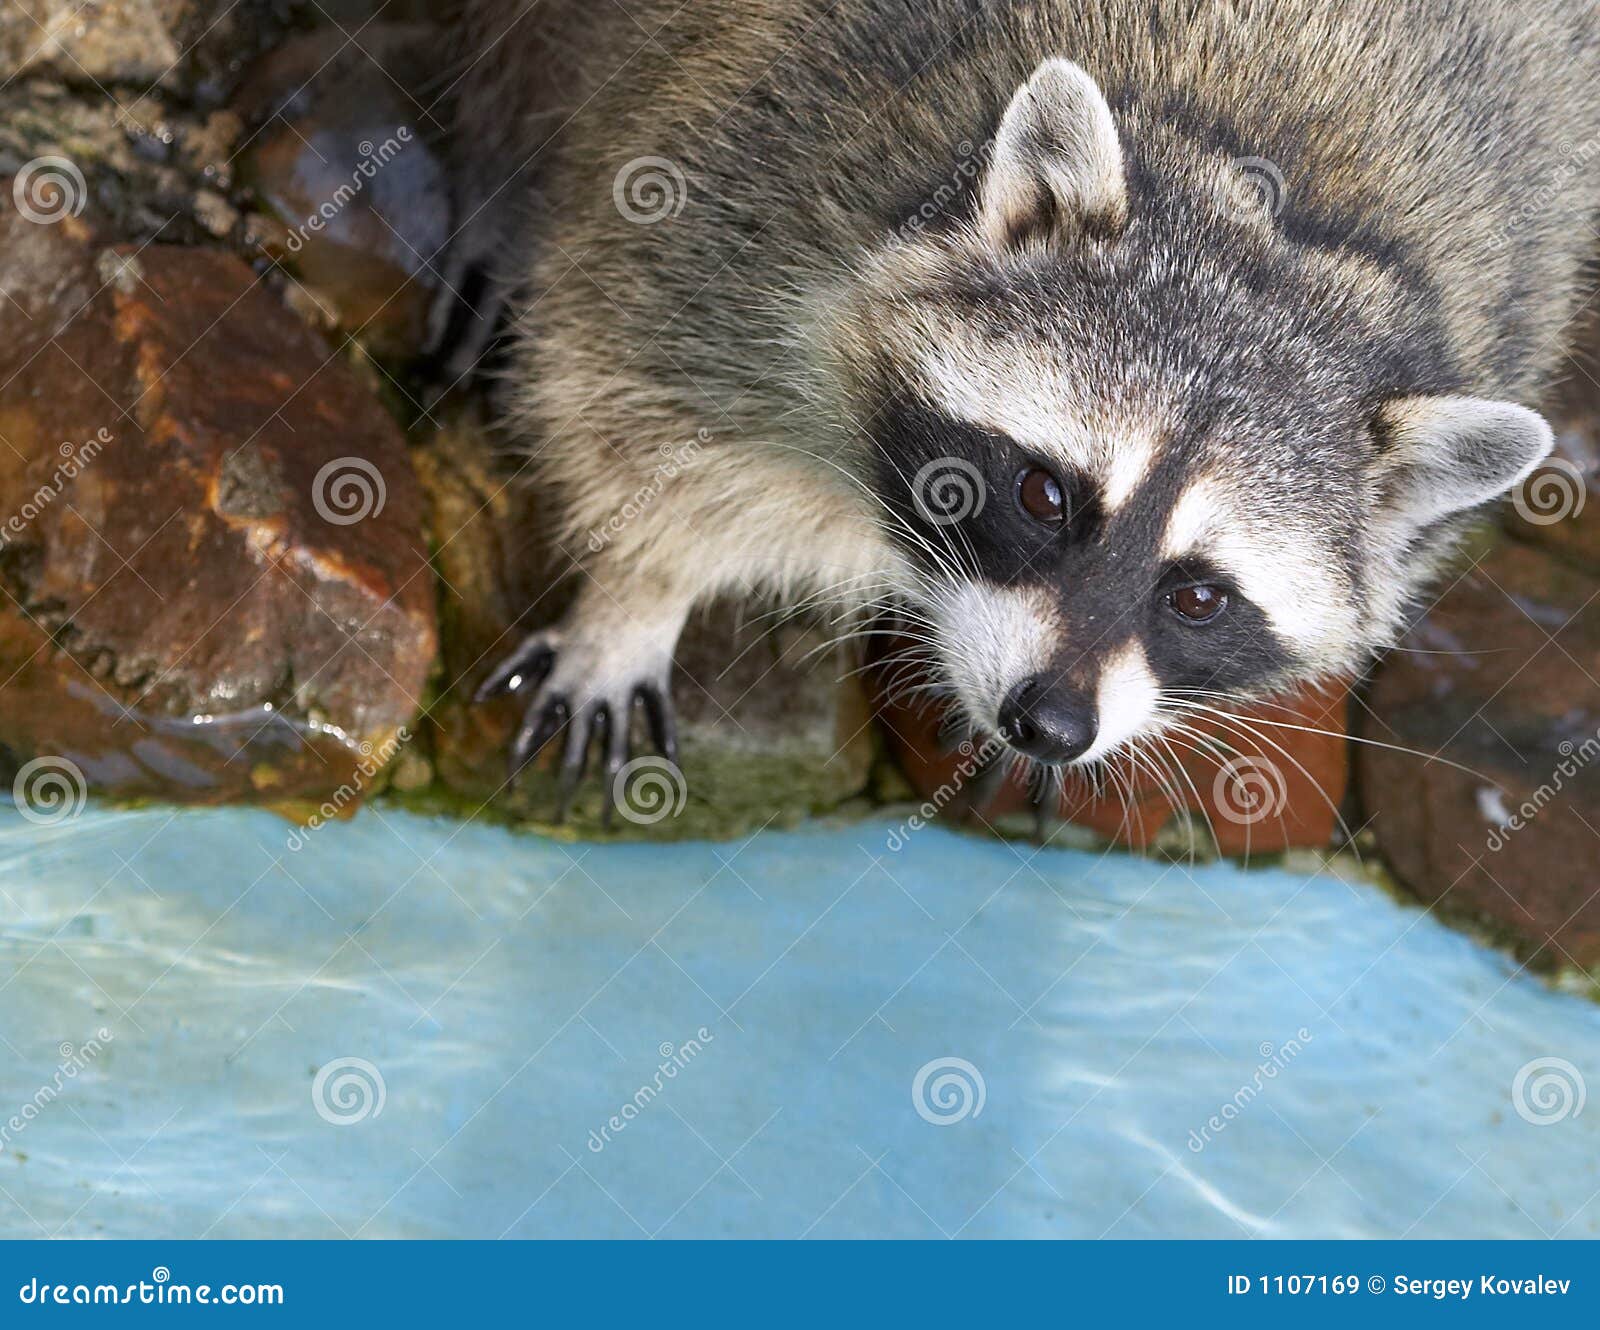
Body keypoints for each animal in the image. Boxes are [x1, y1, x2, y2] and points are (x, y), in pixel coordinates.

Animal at [449, 0, 1600, 814]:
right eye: (1044, 494)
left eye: (1198, 597)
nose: (1048, 722)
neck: (1270, 222)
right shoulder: (764, 166)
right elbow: (633, 385)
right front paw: (637, 594)